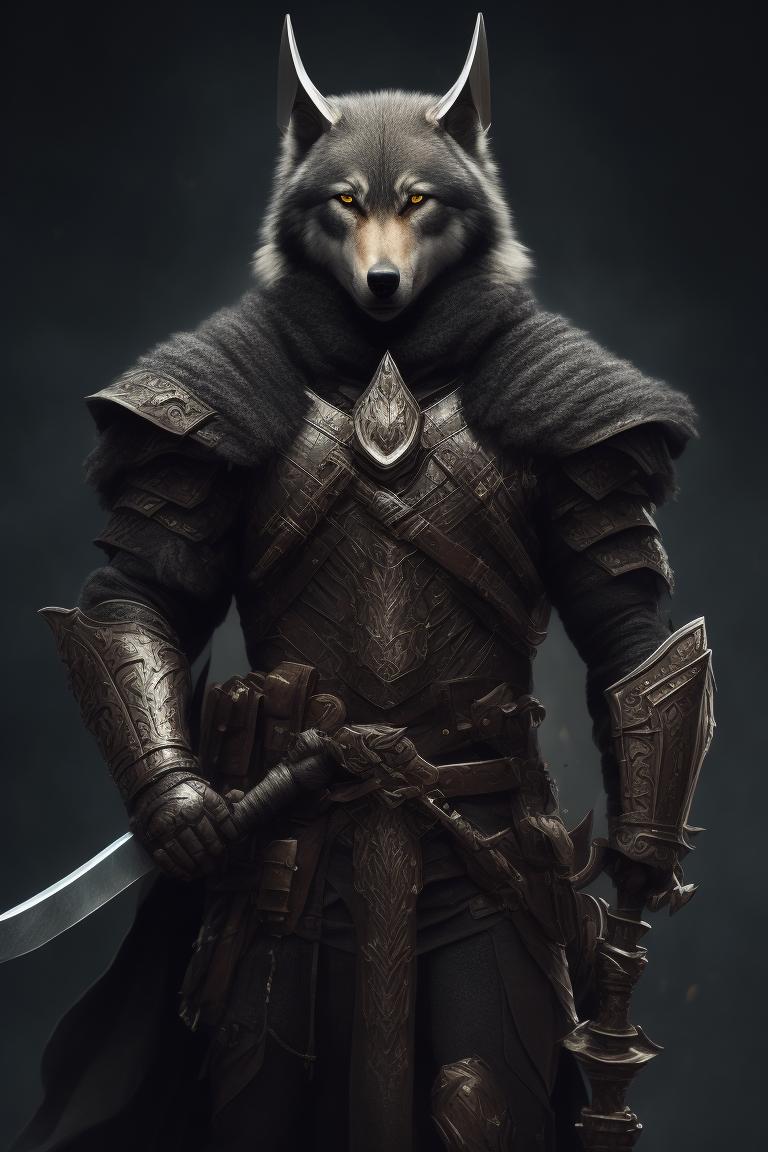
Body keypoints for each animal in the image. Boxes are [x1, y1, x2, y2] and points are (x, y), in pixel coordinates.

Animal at [12, 12, 710, 1152]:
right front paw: (185, 813)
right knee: (257, 1079)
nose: (382, 284)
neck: (389, 359)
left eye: (420, 201)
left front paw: (642, 877)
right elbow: (140, 594)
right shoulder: (180, 430)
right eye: (343, 201)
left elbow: (629, 626)